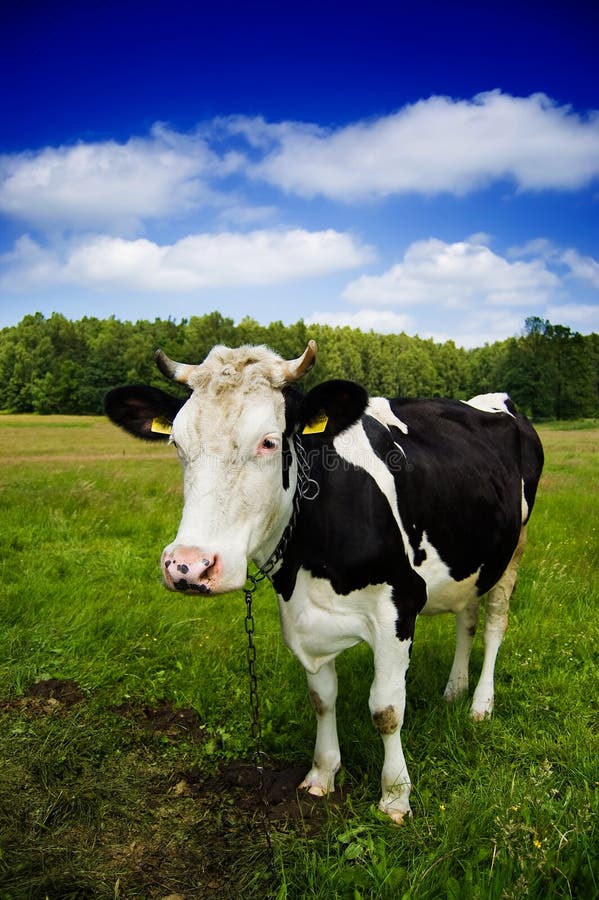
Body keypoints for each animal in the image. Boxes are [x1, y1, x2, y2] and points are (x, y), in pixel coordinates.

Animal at [105, 340, 544, 822]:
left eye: (269, 441)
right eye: (177, 443)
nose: (187, 566)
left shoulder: (399, 605)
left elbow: (386, 709)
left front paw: (395, 797)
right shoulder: (300, 612)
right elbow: (322, 698)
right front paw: (322, 775)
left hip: (514, 550)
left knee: (494, 624)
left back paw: (480, 704)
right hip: (472, 559)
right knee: (466, 618)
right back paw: (454, 690)